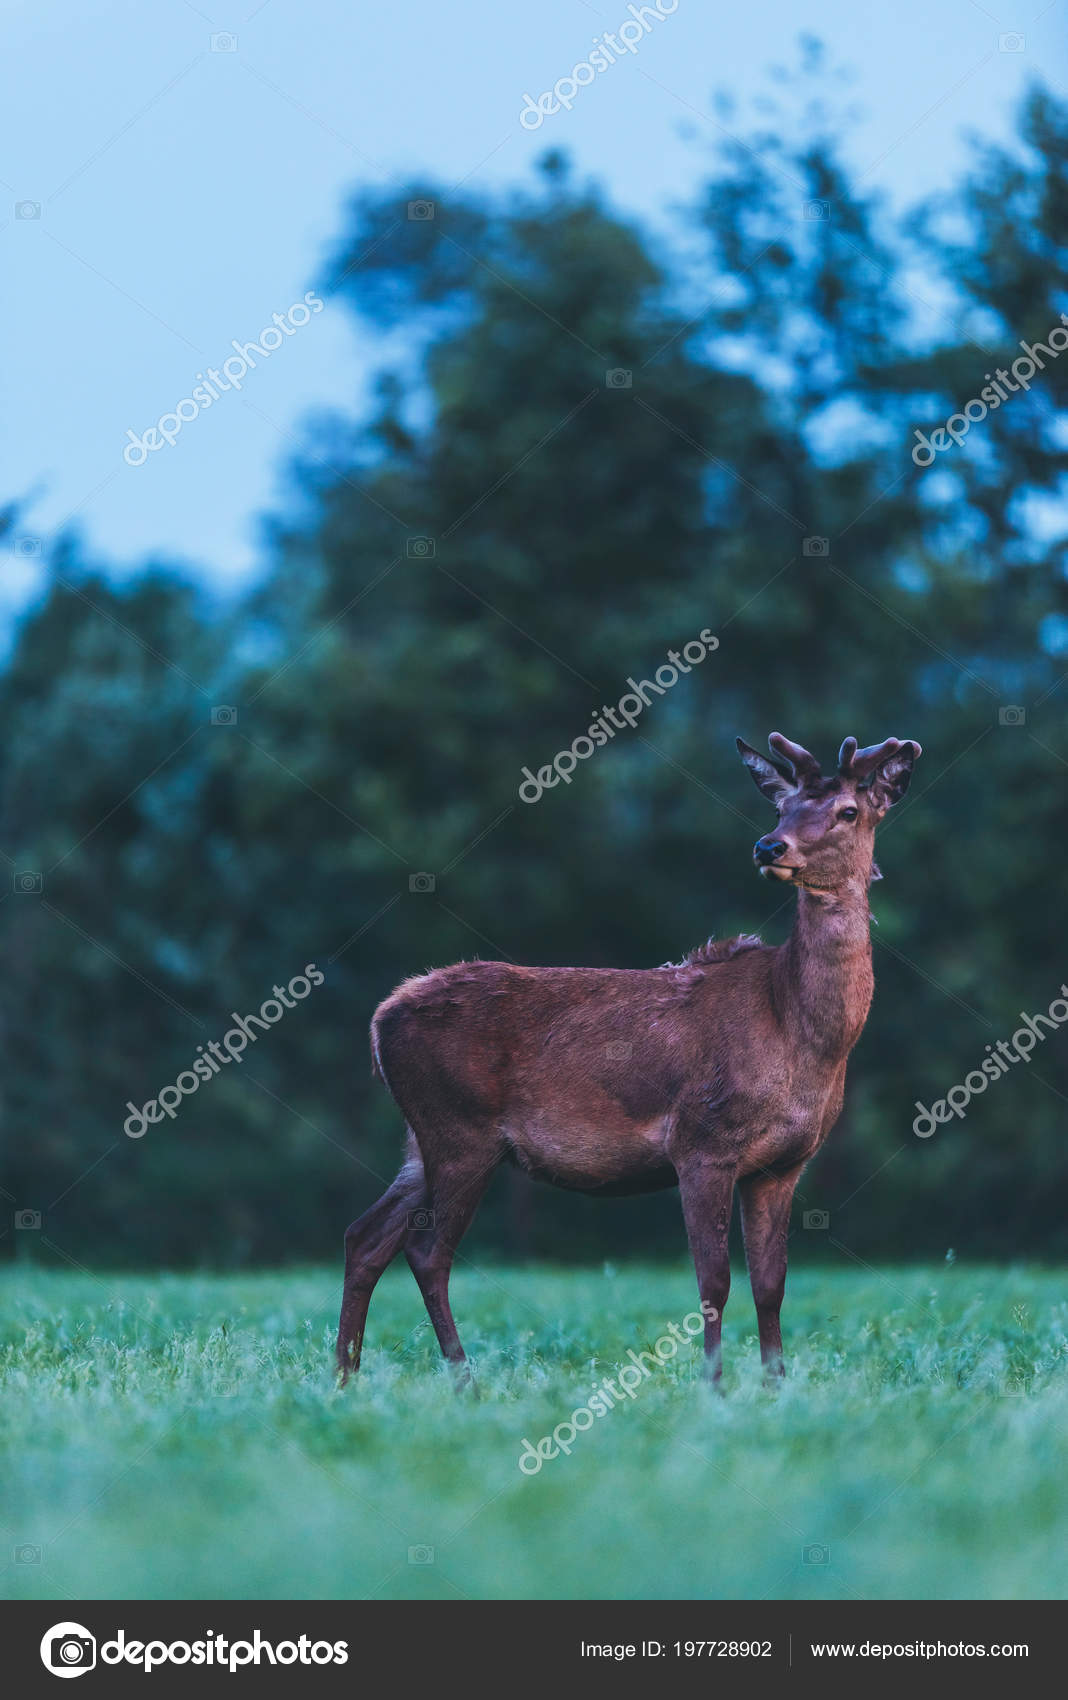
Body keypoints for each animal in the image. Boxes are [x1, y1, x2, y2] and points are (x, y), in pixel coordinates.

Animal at [336, 731, 920, 1388]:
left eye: (848, 811)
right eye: (781, 808)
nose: (769, 845)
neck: (797, 1032)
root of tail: (380, 1019)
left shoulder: (784, 1164)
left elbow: (771, 1285)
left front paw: (776, 1385)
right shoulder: (701, 1142)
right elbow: (713, 1282)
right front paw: (714, 1386)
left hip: (420, 1141)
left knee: (365, 1238)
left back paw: (344, 1377)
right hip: (461, 1130)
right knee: (427, 1252)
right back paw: (463, 1380)